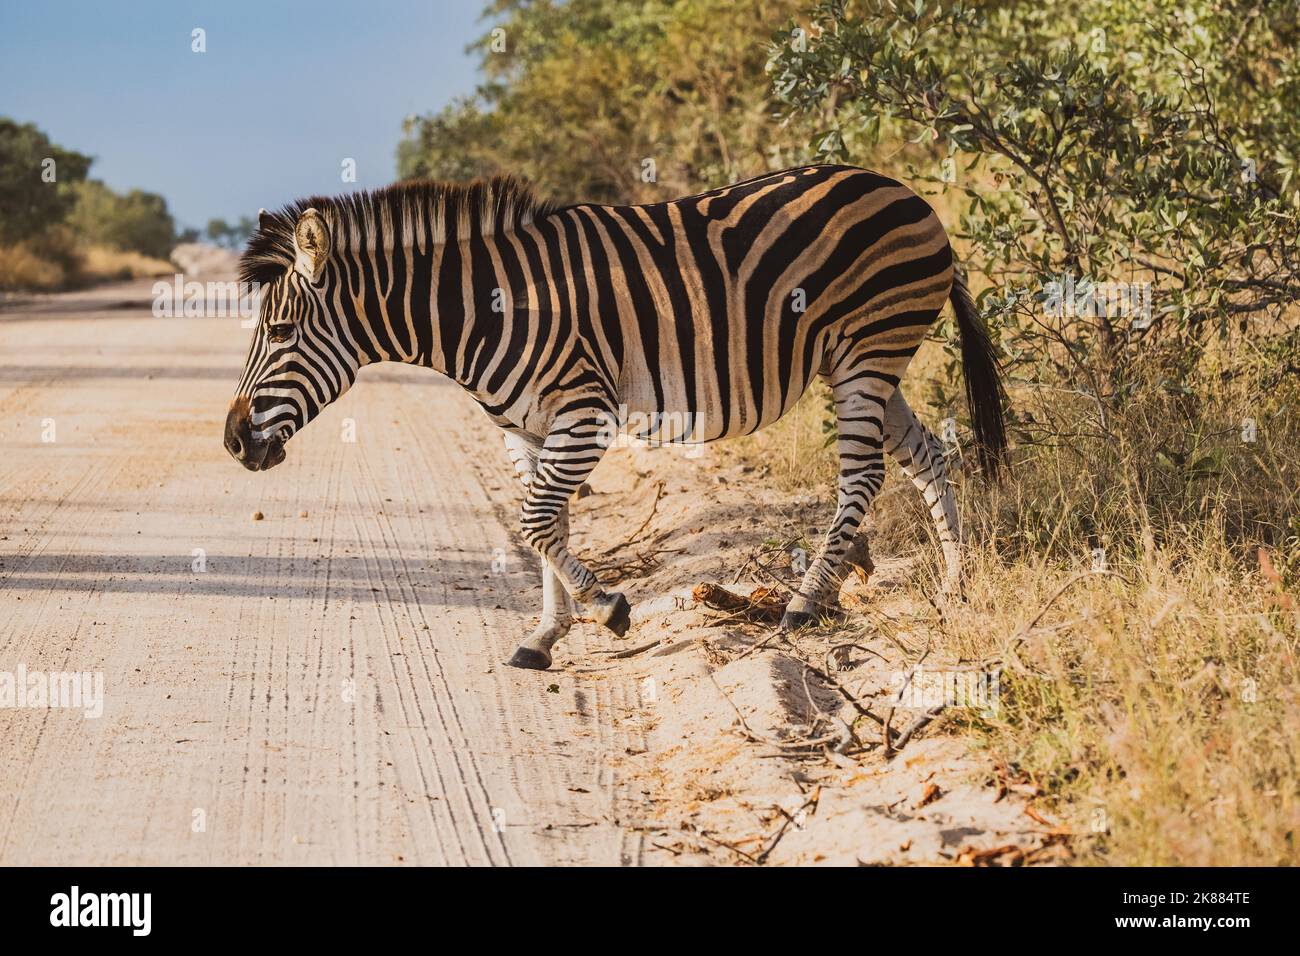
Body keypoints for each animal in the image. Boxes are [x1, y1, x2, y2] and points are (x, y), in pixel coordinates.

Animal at [225, 164, 1007, 670]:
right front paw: (544, 636)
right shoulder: (525, 428)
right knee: (928, 455)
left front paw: (608, 610)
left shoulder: (584, 409)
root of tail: (906, 191)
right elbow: (544, 525)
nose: (232, 442)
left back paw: (807, 603)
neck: (485, 311)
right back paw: (954, 584)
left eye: (282, 331)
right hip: (865, 361)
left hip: (868, 349)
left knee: (864, 474)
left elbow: (538, 522)